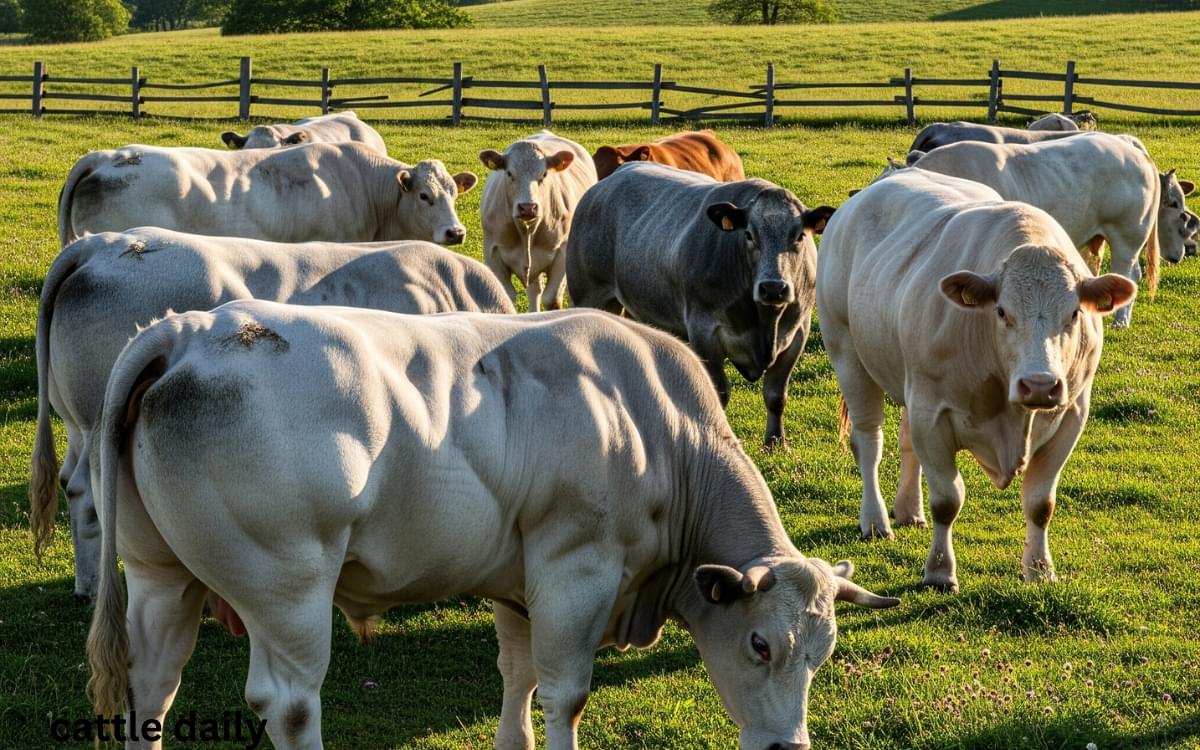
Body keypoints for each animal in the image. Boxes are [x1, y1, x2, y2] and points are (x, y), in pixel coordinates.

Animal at [30, 227, 514, 602]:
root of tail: (99, 244)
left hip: (79, 422)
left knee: (70, 482)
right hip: (98, 424)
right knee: (86, 495)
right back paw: (92, 586)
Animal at [85, 300, 898, 750]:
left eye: (823, 653)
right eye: (760, 643)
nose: (788, 748)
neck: (662, 428)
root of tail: (189, 330)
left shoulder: (519, 581)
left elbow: (520, 677)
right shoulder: (576, 570)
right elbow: (565, 691)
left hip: (159, 574)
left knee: (152, 687)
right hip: (286, 587)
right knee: (287, 705)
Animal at [478, 130, 598, 311]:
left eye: (544, 174)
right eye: (509, 173)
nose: (528, 207)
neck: (526, 230)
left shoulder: (562, 253)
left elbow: (551, 300)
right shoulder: (493, 253)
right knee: (535, 290)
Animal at [566, 162, 835, 447]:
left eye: (799, 236)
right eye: (749, 235)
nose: (773, 287)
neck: (764, 322)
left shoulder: (798, 331)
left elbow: (776, 394)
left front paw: (775, 443)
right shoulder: (704, 329)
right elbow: (719, 392)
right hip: (587, 294)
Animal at [816, 168, 1136, 592]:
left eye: (1073, 314)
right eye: (1001, 311)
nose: (1039, 384)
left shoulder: (1071, 415)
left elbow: (1041, 503)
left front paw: (1039, 569)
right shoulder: (932, 413)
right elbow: (947, 500)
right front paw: (939, 571)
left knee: (906, 443)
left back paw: (909, 510)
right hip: (849, 356)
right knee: (869, 442)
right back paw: (876, 519)